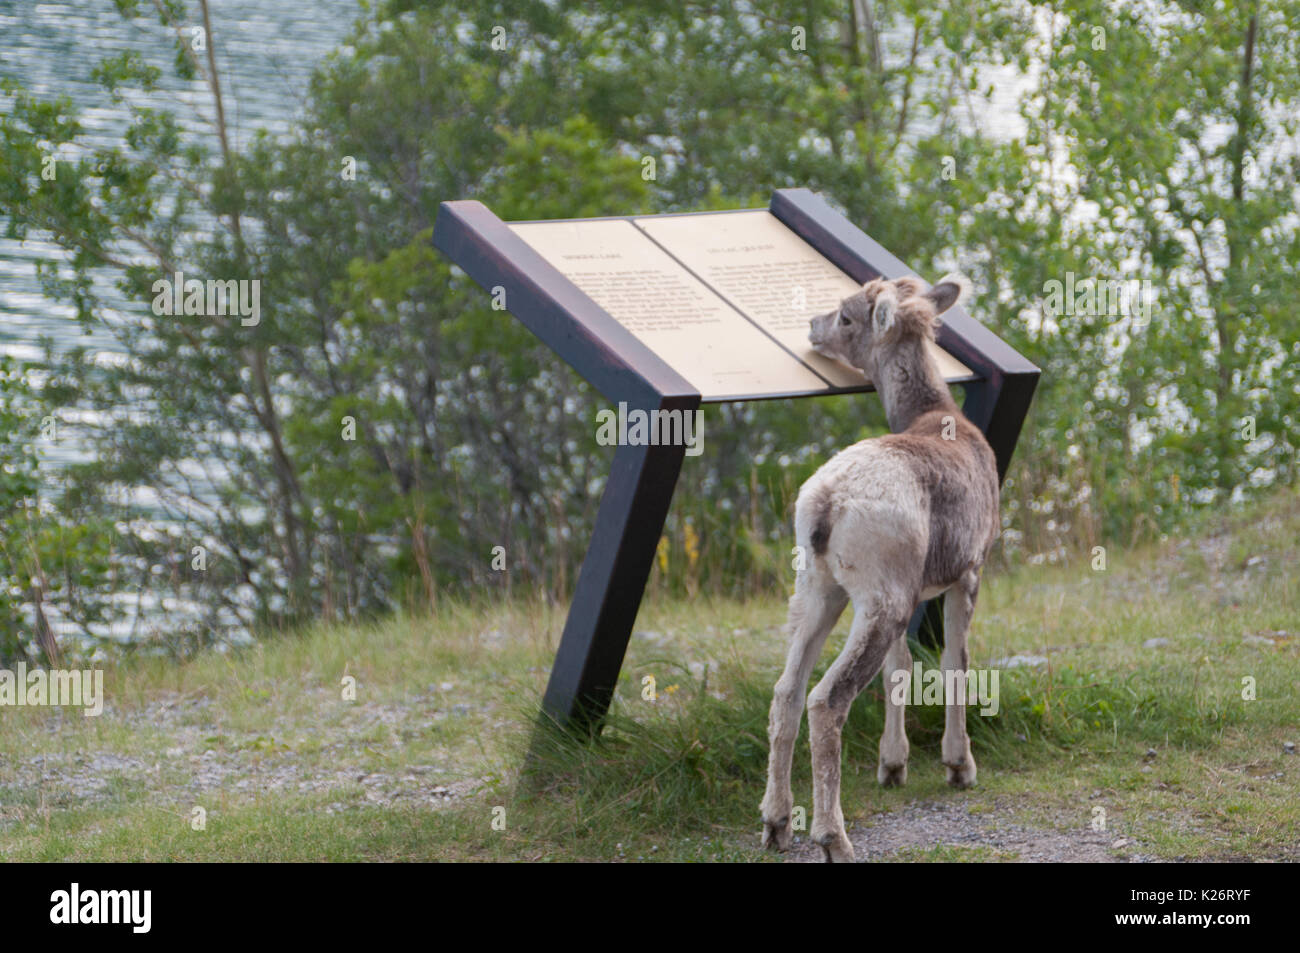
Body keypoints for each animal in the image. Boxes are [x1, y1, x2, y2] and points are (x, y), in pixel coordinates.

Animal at [759, 273, 1000, 863]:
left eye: (845, 316)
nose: (813, 325)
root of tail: (826, 502)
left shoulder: (917, 589)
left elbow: (901, 668)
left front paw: (893, 767)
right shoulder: (969, 572)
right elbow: (954, 664)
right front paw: (959, 767)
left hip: (818, 590)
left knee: (786, 692)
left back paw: (776, 823)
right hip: (879, 598)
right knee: (826, 700)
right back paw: (833, 837)